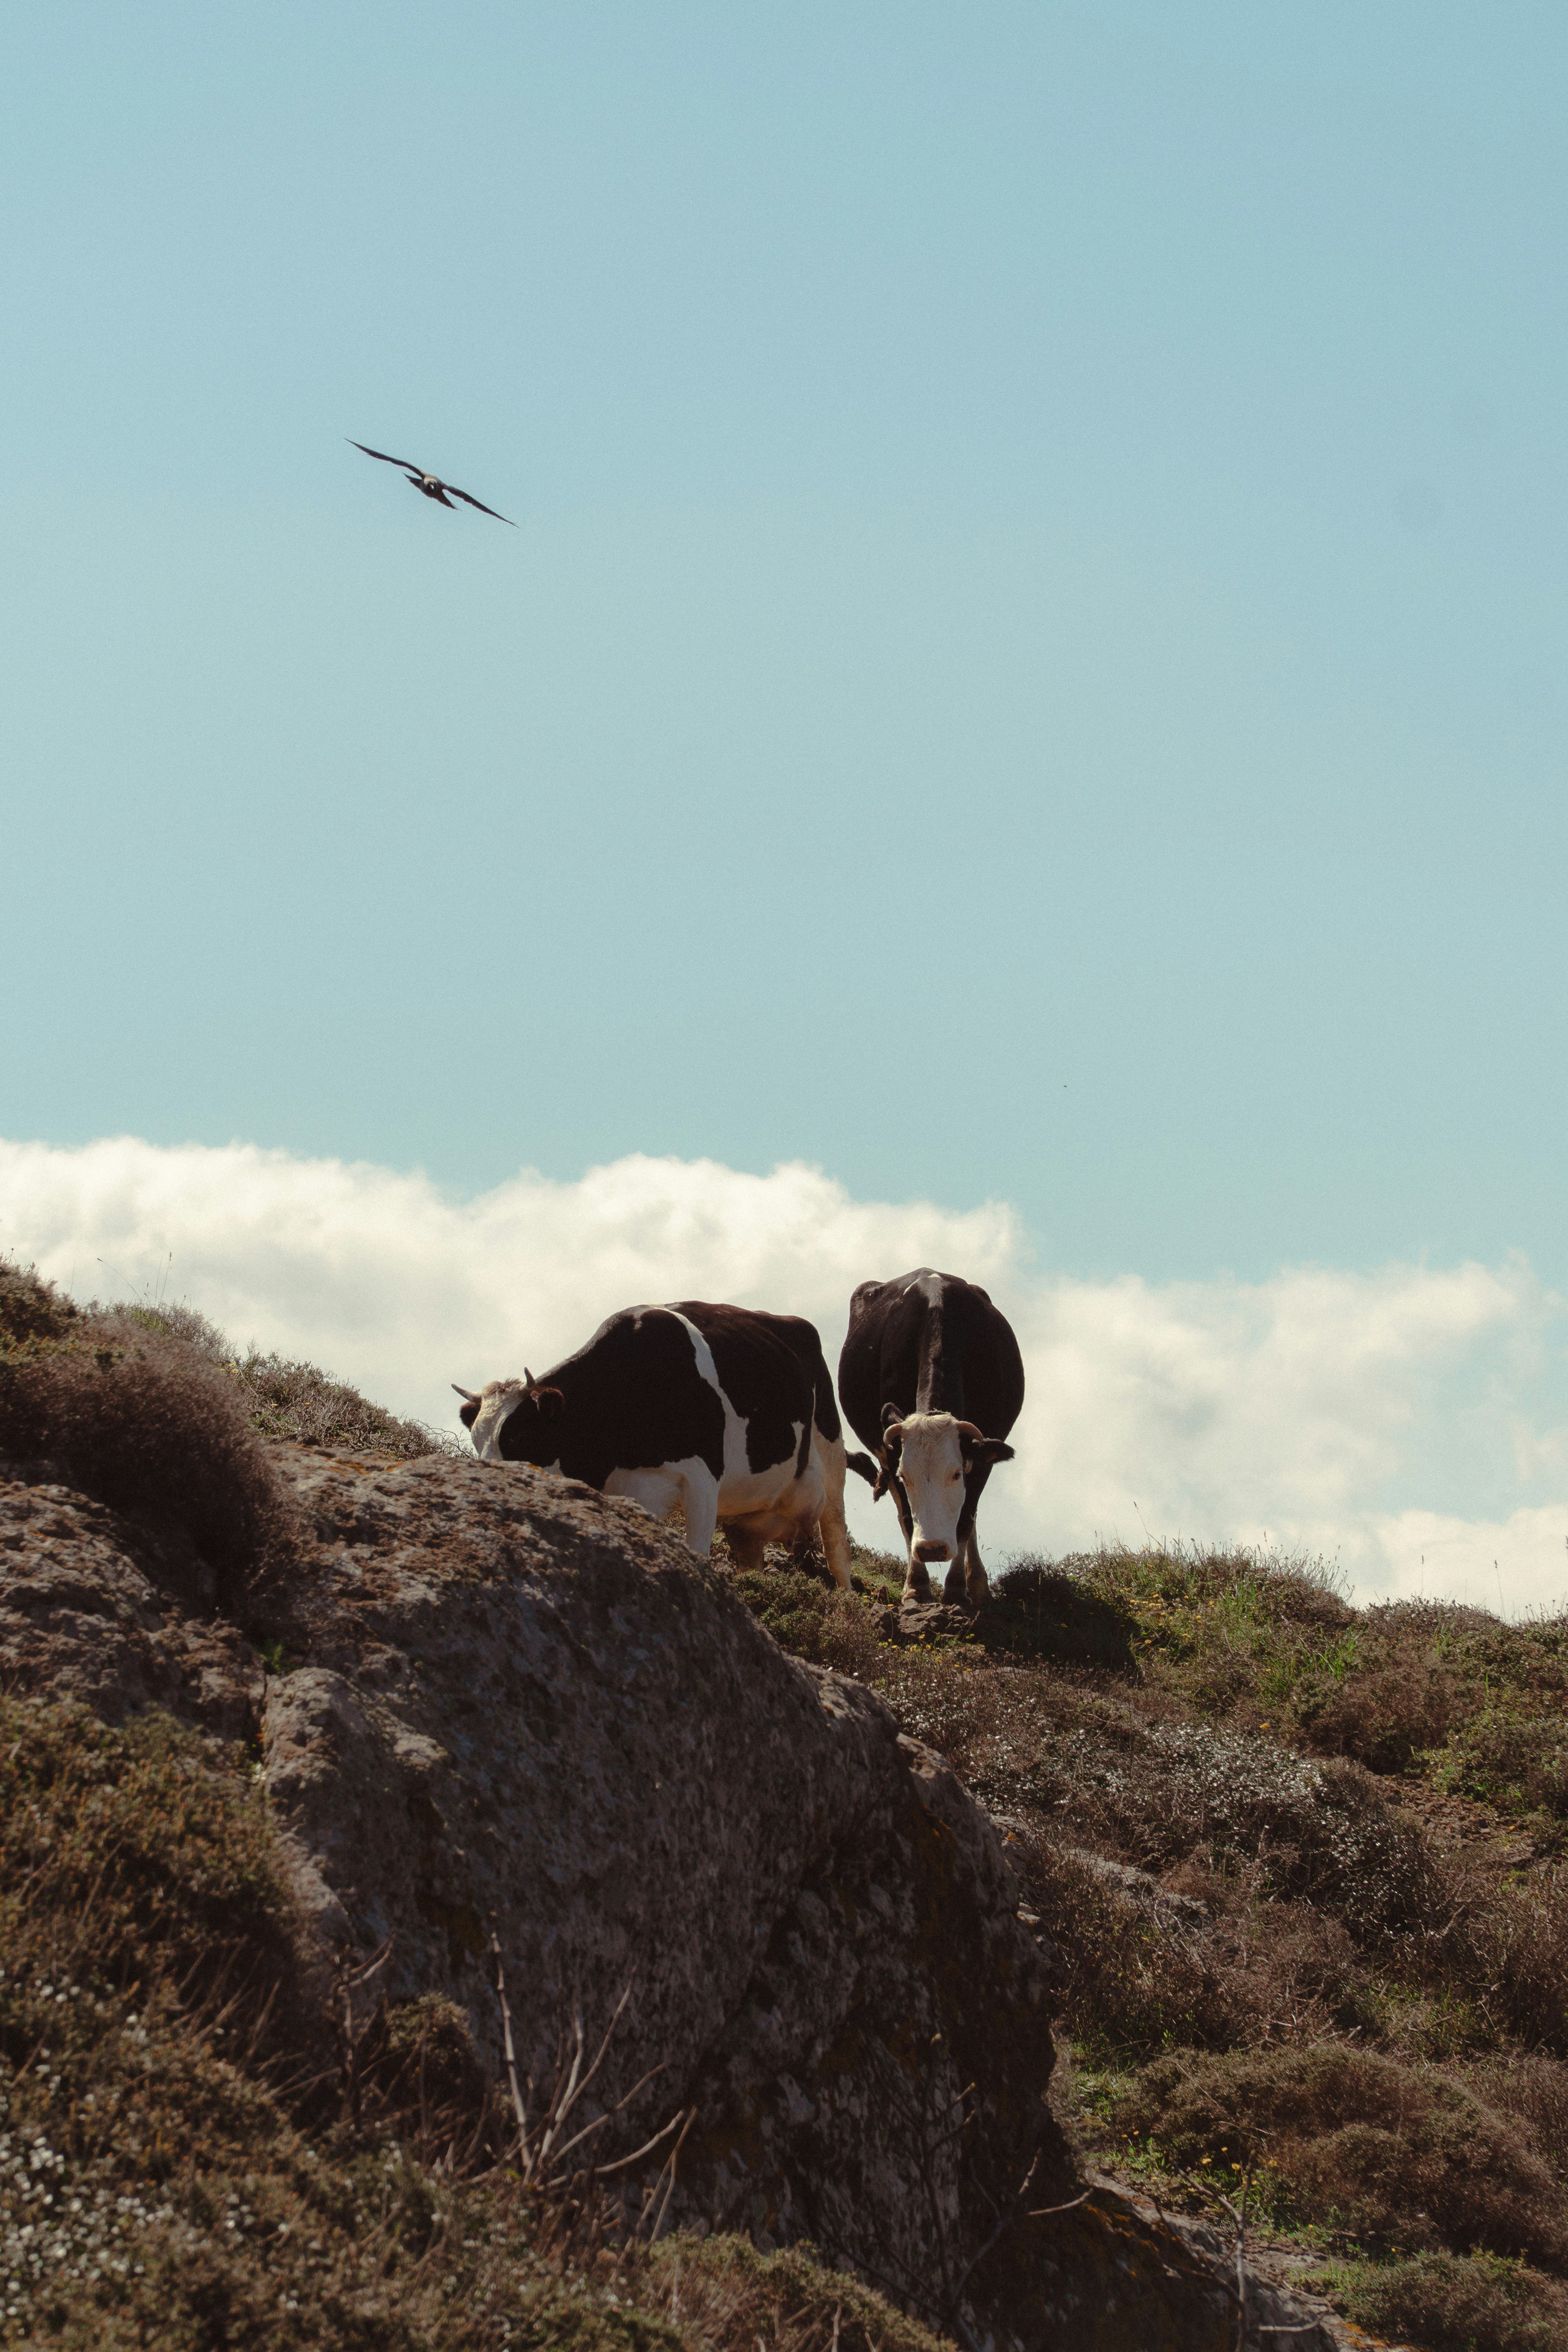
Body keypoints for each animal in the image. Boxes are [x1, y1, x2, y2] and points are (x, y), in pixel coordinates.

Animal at [454, 1301, 858, 1588]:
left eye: (518, 1436)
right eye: (476, 1440)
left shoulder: (703, 1479)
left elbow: (699, 1554)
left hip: (831, 1455)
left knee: (837, 1545)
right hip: (750, 1518)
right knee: (751, 1556)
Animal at [838, 1268, 1024, 1609]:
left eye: (956, 1473)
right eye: (905, 1476)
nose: (933, 1549)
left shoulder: (981, 1460)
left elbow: (965, 1520)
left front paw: (957, 1590)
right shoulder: (891, 1455)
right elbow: (908, 1519)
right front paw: (916, 1588)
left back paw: (978, 1584)